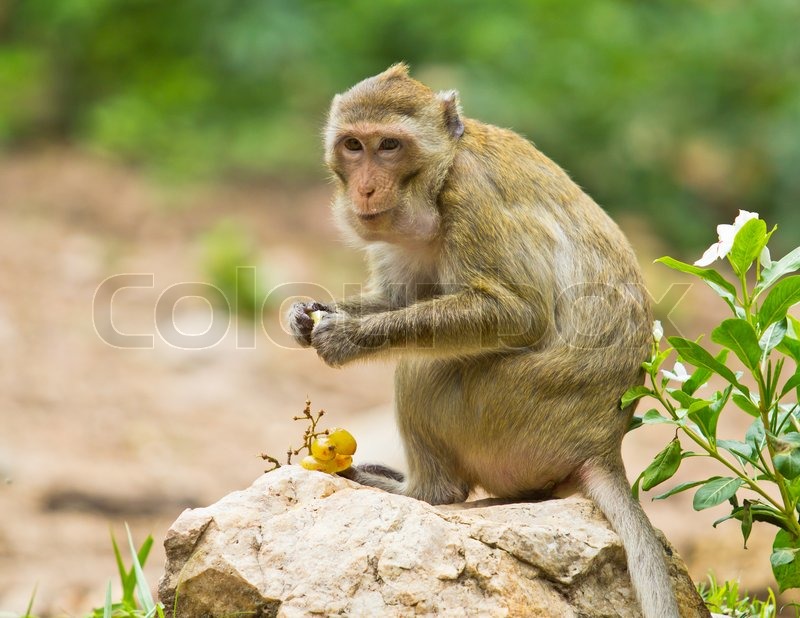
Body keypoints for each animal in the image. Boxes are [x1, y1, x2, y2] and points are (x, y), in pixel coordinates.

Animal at [288, 64, 681, 618]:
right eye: (353, 146)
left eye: (389, 146)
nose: (364, 189)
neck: (440, 176)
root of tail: (603, 445)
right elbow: (400, 296)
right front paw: (304, 317)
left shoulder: (470, 195)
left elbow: (517, 313)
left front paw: (347, 336)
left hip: (509, 412)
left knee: (421, 370)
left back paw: (425, 494)